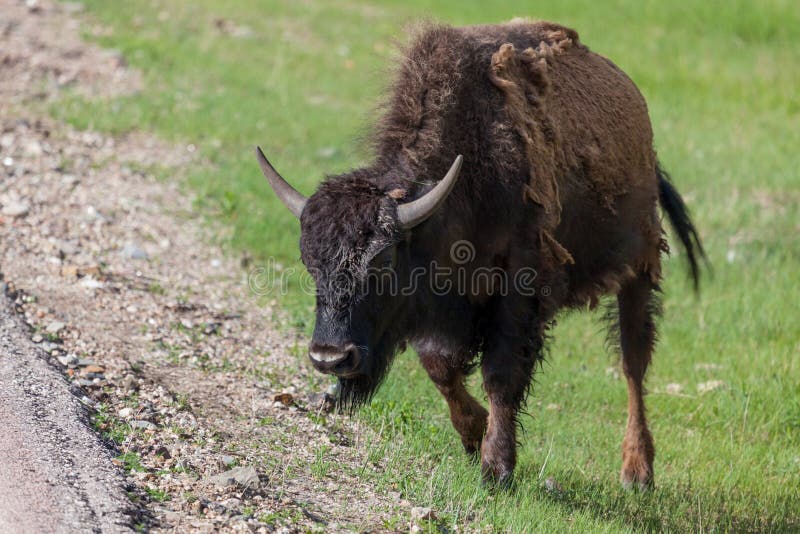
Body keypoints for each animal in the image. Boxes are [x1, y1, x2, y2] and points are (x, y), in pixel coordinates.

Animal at [256, 20, 705, 489]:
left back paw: (637, 472)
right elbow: (441, 367)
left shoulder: (517, 295)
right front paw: (474, 434)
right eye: (310, 263)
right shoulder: (439, 311)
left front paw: (496, 467)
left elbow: (500, 374)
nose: (330, 357)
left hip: (638, 268)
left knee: (633, 361)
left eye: (383, 261)